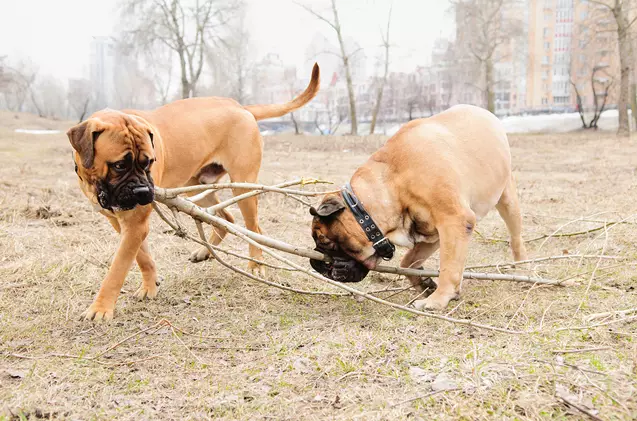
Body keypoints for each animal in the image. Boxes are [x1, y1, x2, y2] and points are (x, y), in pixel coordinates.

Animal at [67, 63, 320, 318]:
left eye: (149, 162)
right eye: (119, 165)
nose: (142, 191)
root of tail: (239, 106)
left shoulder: (135, 222)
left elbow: (117, 268)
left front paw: (101, 308)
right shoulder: (123, 223)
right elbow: (141, 256)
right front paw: (150, 285)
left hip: (242, 185)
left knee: (252, 227)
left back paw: (255, 265)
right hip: (195, 185)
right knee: (226, 217)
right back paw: (206, 252)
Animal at [310, 103, 528, 310]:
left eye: (324, 240)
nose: (315, 263)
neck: (394, 183)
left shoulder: (453, 221)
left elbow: (448, 266)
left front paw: (438, 299)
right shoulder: (432, 233)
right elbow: (409, 262)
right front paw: (425, 284)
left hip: (507, 199)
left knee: (516, 238)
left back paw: (522, 270)